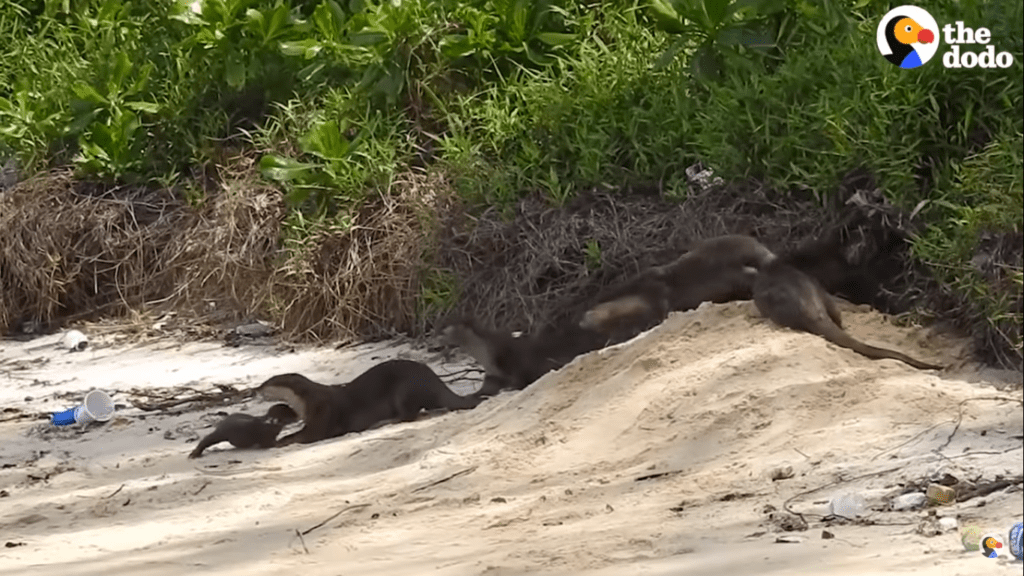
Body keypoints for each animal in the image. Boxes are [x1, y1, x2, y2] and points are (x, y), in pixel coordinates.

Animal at [256, 359, 482, 447]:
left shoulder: (322, 411)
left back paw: (384, 422)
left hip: (404, 389)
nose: (255, 389)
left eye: (267, 383)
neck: (306, 401)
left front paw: (281, 440)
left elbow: (309, 435)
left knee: (408, 415)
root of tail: (434, 378)